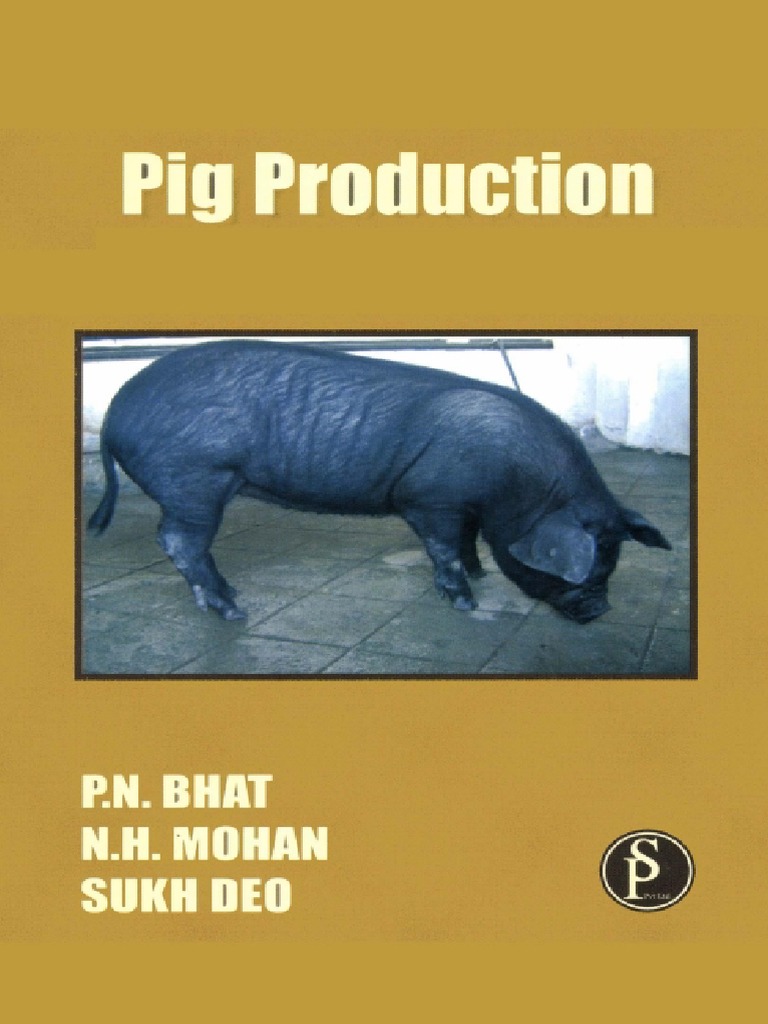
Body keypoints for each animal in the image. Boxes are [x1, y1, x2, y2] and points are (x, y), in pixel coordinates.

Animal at [87, 340, 671, 623]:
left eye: (613, 560)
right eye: (586, 569)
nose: (601, 610)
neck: (521, 489)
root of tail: (115, 411)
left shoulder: (463, 505)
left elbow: (466, 541)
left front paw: (480, 575)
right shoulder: (430, 498)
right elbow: (444, 549)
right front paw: (466, 604)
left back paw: (231, 597)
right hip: (194, 478)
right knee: (178, 541)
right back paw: (233, 611)